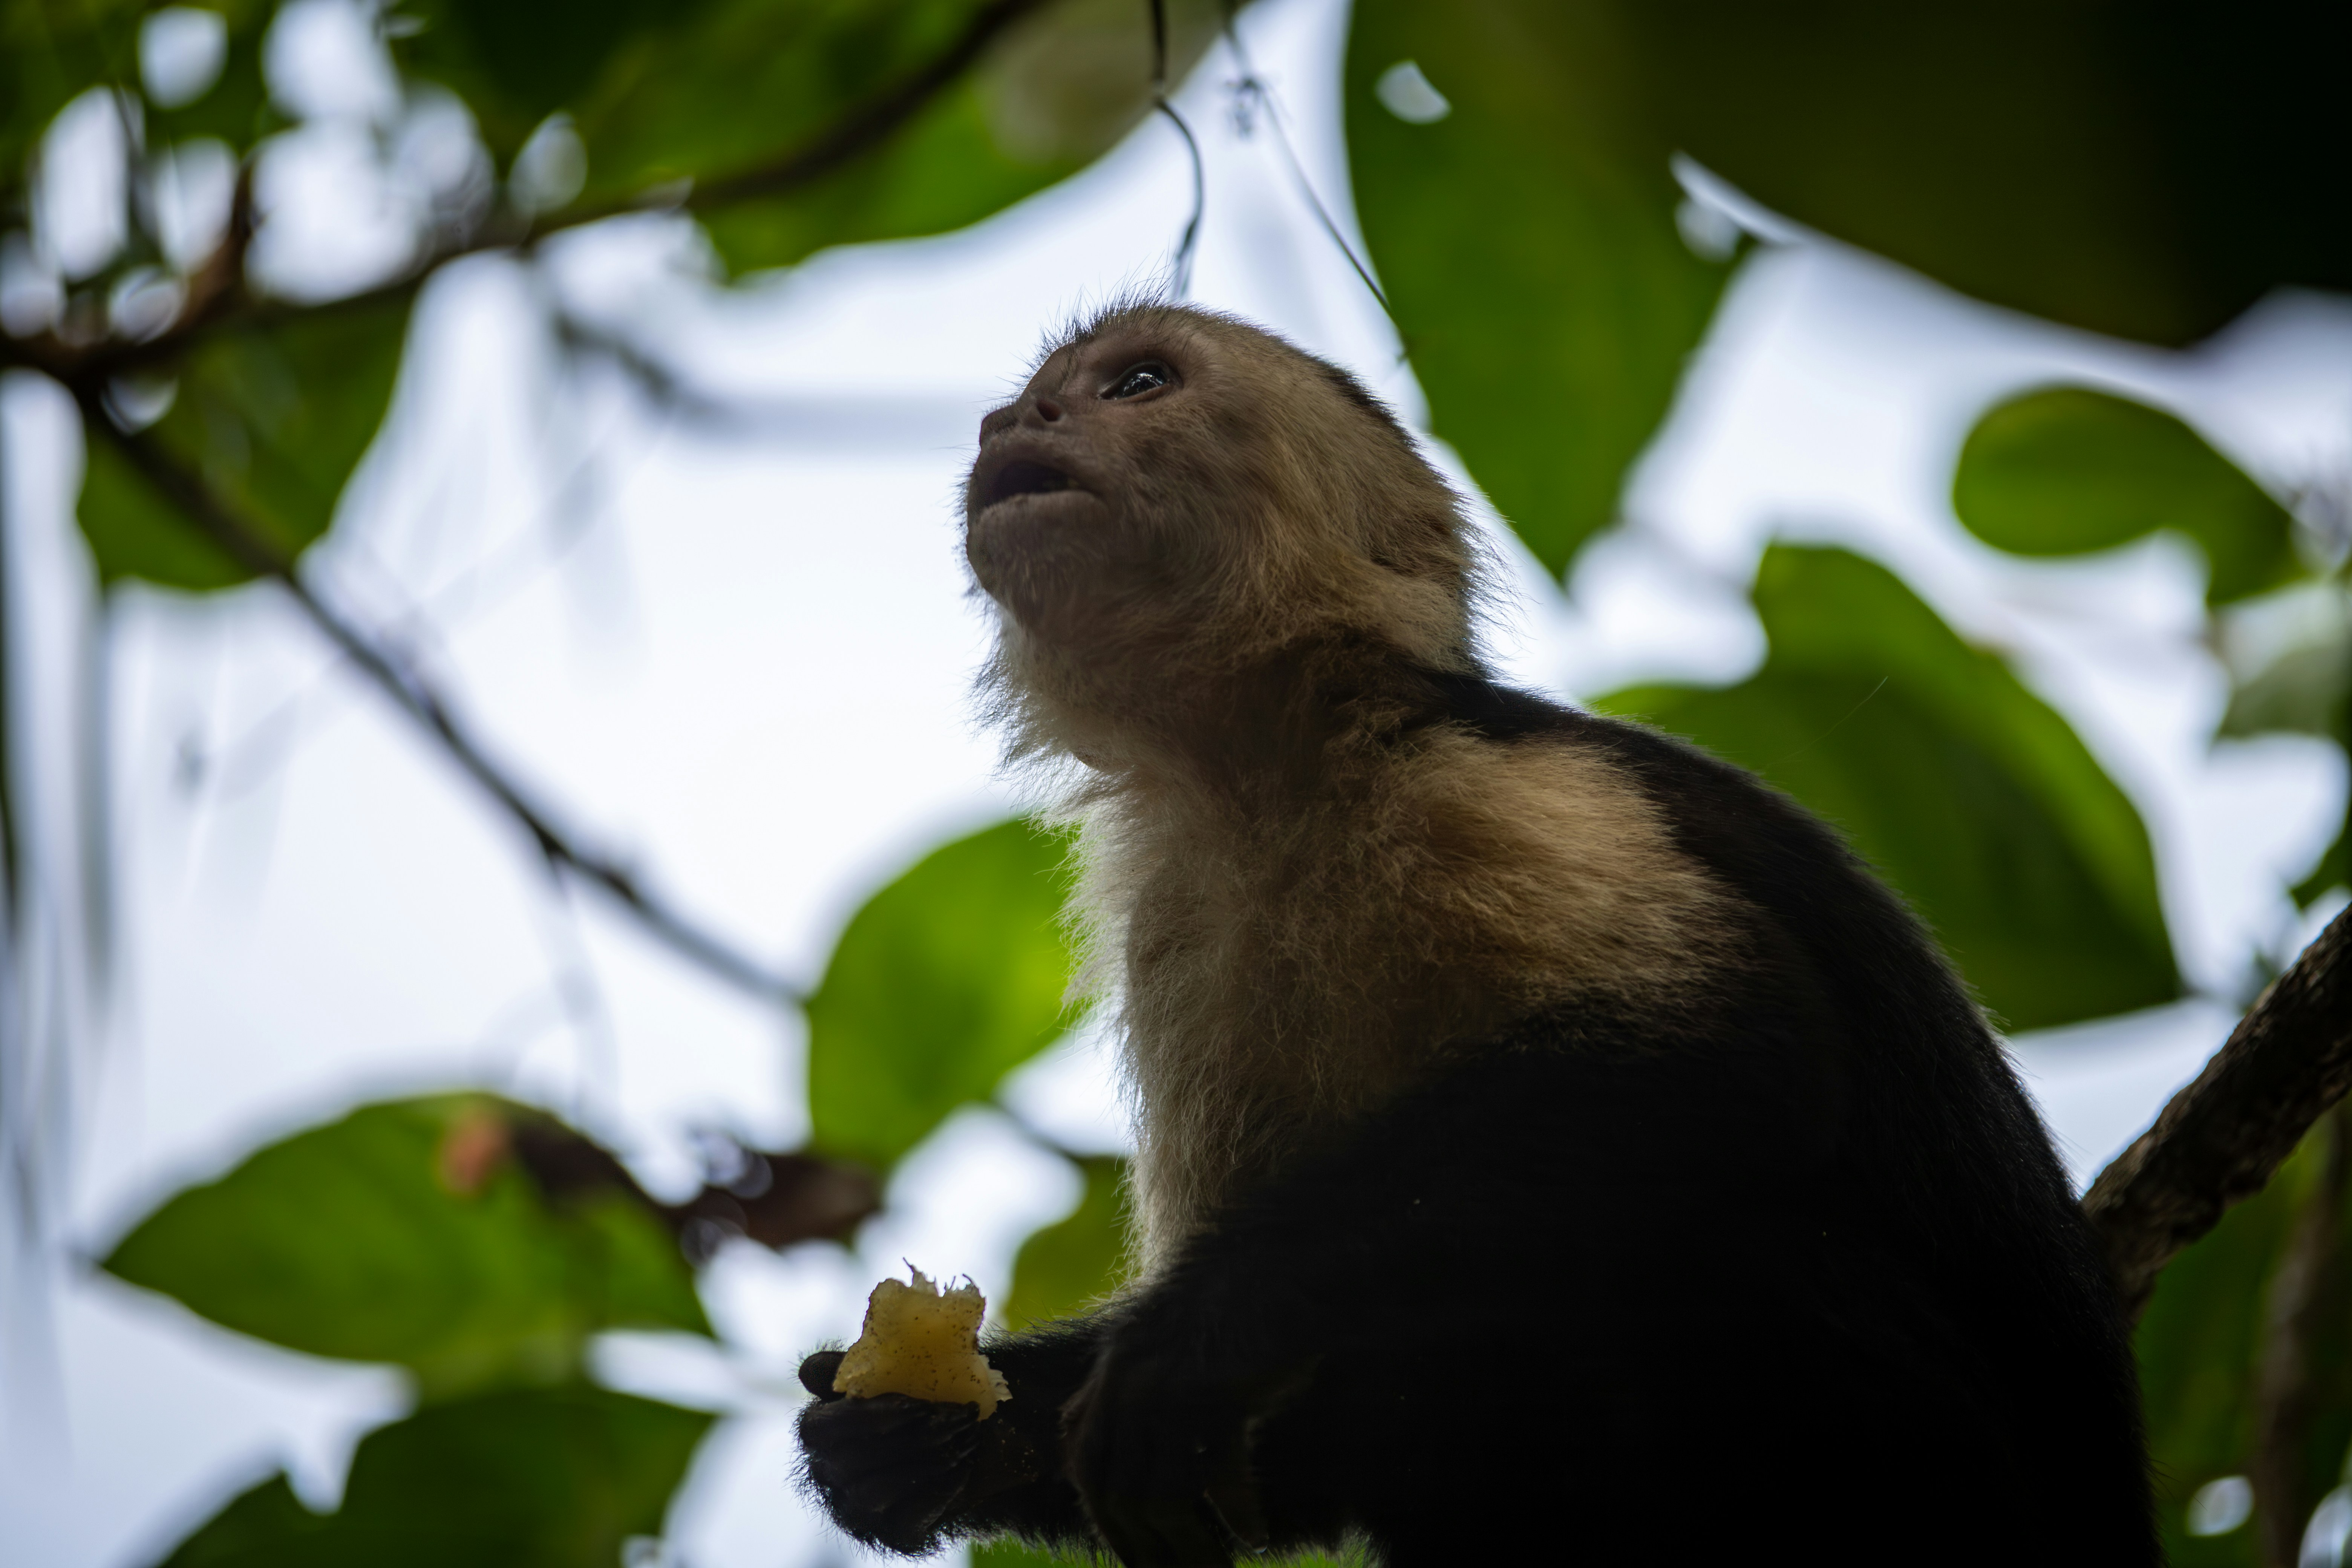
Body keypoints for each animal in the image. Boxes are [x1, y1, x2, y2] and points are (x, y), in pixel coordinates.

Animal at [795, 301, 2155, 1567]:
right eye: (1036, 397)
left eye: (1137, 383)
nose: (1009, 423)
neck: (1271, 781)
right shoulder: (1178, 927)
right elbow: (1271, 1462)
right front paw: (926, 1440)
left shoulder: (1477, 782)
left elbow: (1736, 1051)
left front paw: (1199, 1328)